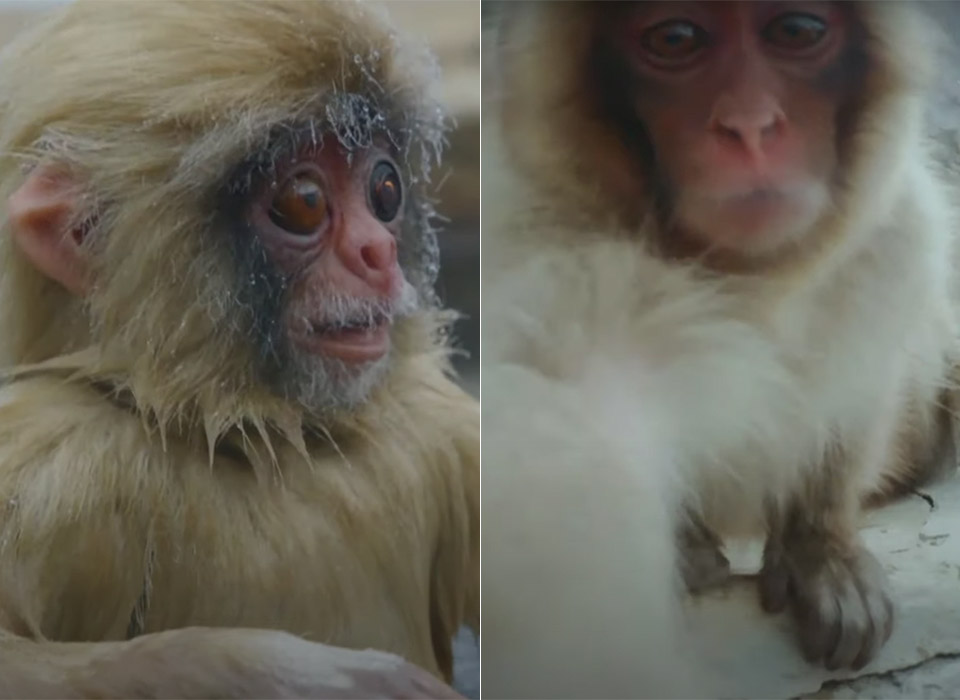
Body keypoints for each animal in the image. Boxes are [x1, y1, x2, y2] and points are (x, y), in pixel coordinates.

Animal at [0, 0, 478, 696]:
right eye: (304, 201)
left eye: (385, 190)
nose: (378, 251)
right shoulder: (55, 453)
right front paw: (287, 672)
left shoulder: (430, 415)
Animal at [481, 2, 958, 697]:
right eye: (676, 39)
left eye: (796, 32)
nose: (750, 127)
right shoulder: (550, 250)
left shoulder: (895, 235)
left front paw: (821, 542)